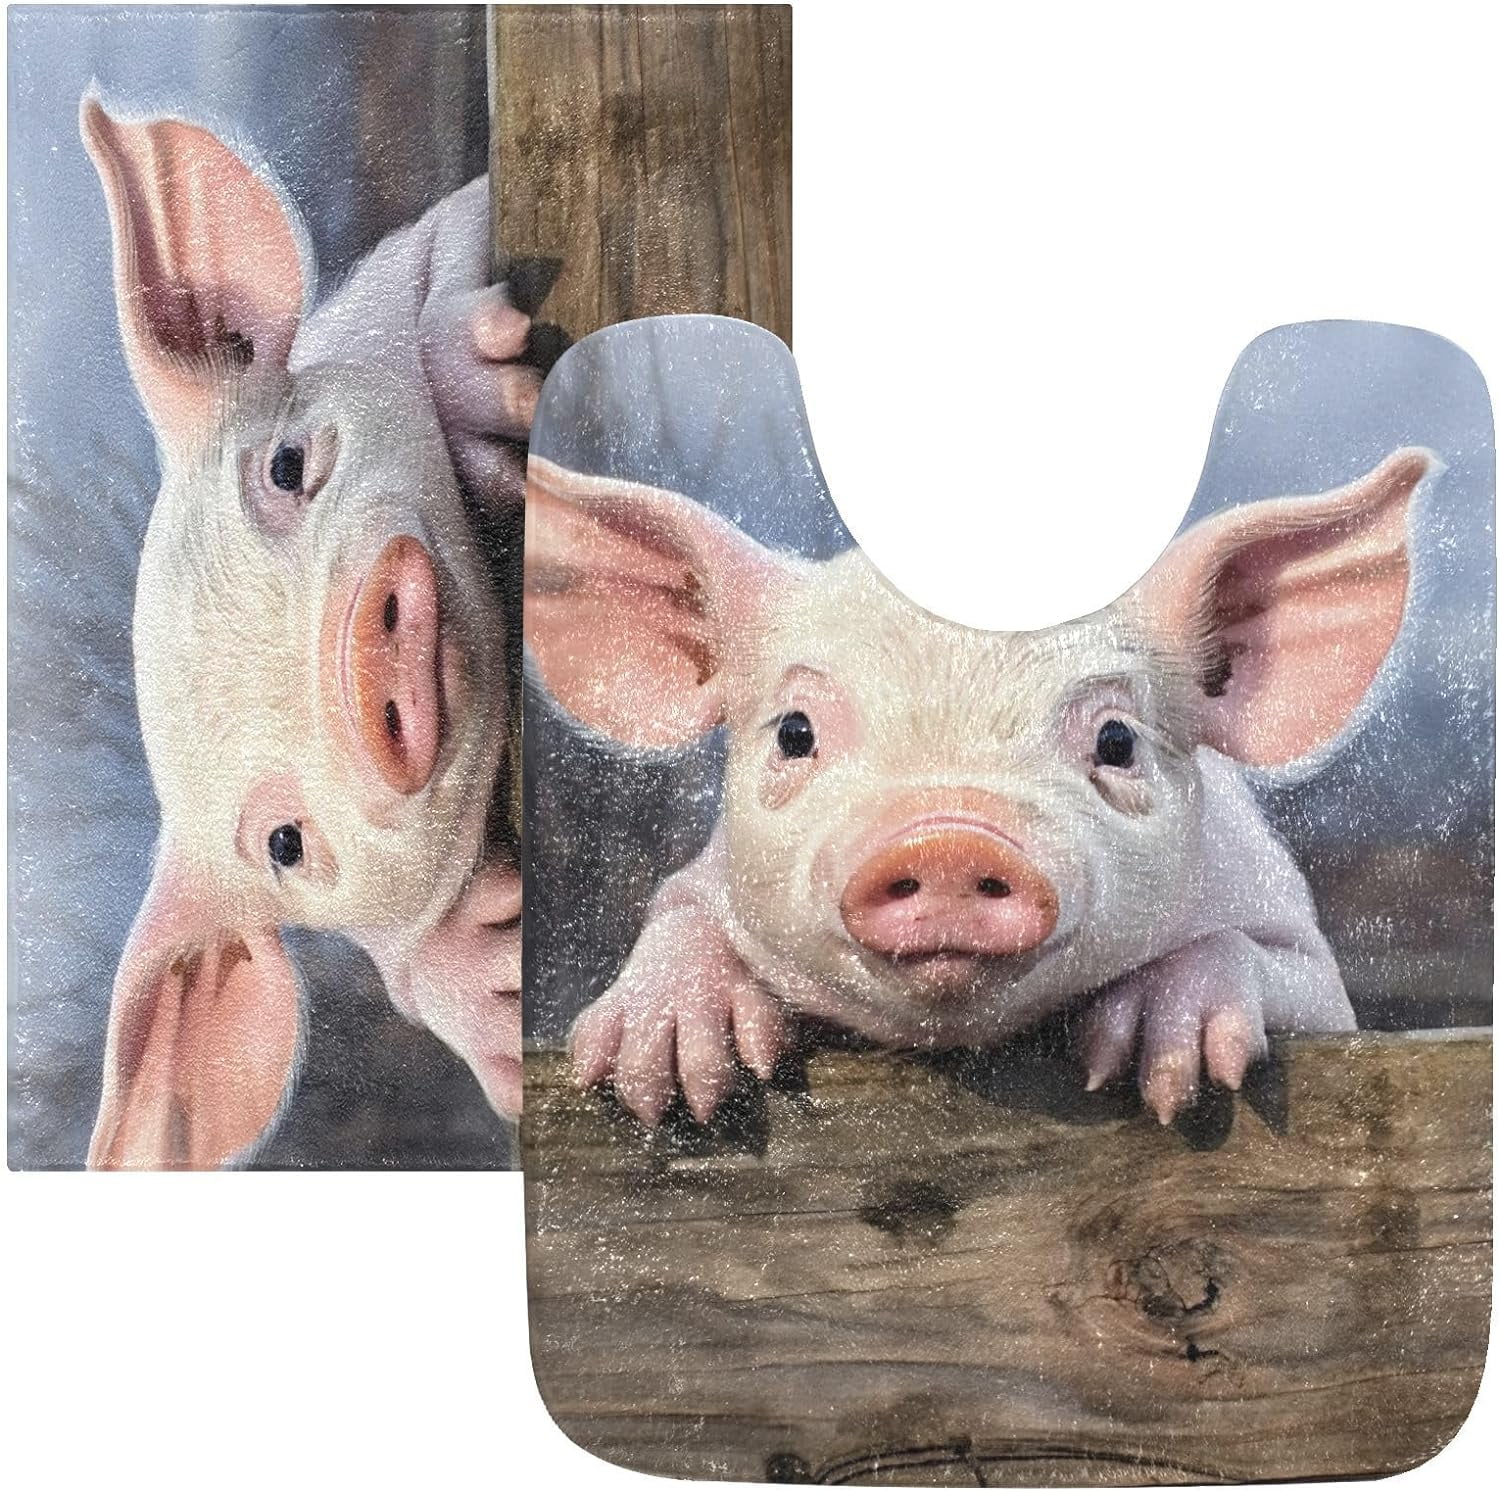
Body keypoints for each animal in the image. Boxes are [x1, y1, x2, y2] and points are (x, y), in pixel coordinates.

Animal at [525, 443, 1437, 1126]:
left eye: (1116, 740)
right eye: (795, 732)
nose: (948, 837)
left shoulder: (1311, 962)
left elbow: (1280, 973)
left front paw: (1161, 1071)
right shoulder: (704, 878)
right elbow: (679, 915)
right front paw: (661, 1073)